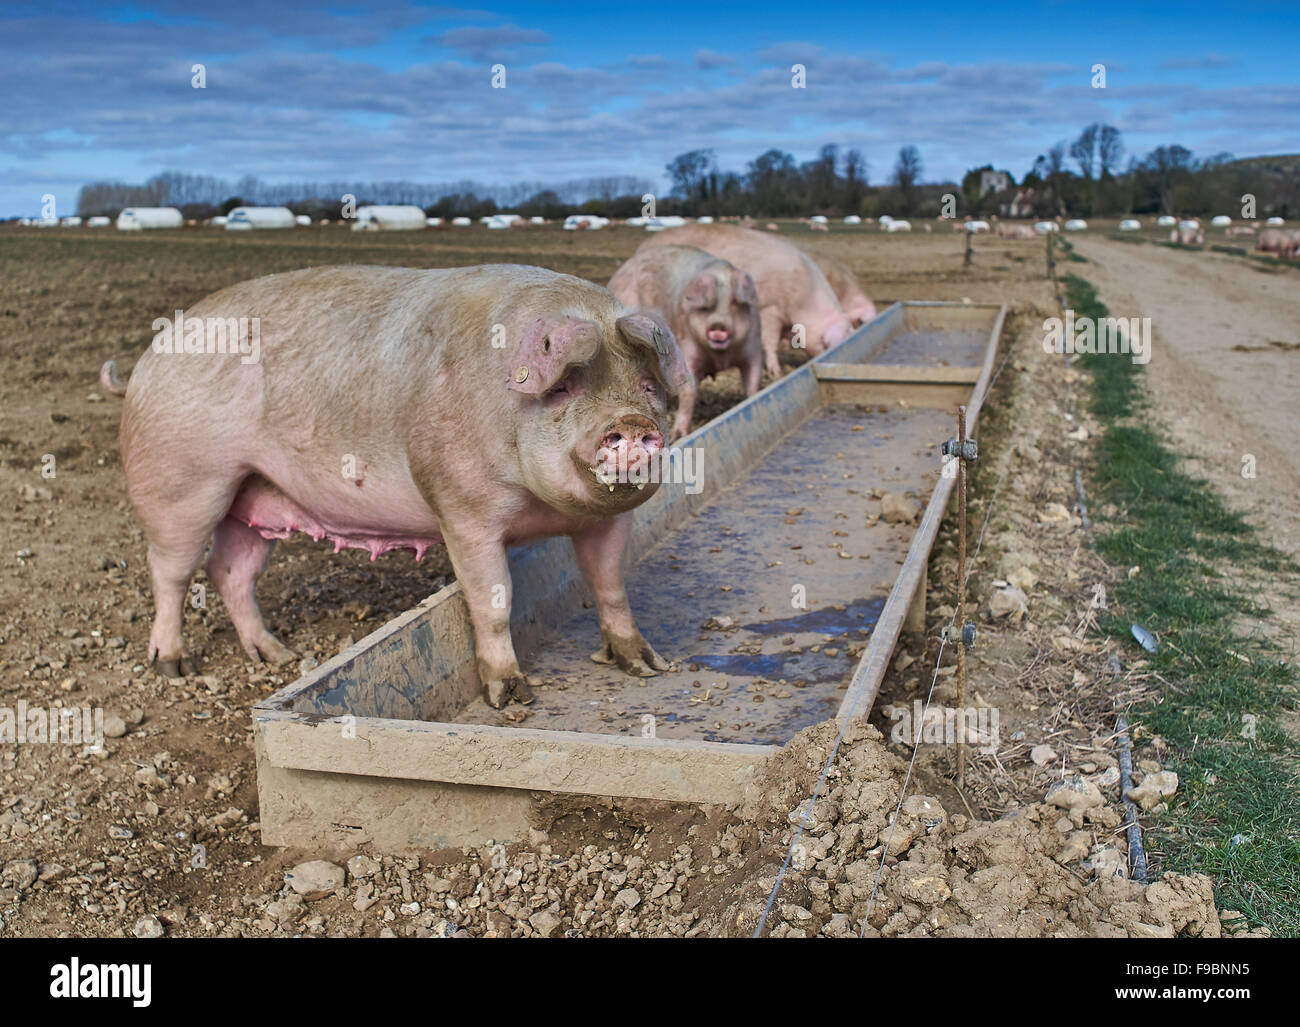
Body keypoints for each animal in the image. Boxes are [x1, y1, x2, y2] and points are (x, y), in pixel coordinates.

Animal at [103, 264, 689, 708]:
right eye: (564, 387)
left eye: (646, 386)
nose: (631, 422)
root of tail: (148, 358)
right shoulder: (462, 509)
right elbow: (493, 604)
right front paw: (510, 697)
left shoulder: (609, 520)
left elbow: (610, 585)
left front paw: (645, 666)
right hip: (179, 481)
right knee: (172, 571)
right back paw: (173, 666)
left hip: (253, 493)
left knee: (230, 569)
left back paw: (277, 654)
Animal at [608, 245, 762, 440]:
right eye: (707, 307)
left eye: (734, 302)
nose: (718, 324)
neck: (721, 357)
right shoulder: (687, 346)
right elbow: (689, 390)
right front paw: (679, 435)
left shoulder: (753, 345)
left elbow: (753, 380)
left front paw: (753, 406)